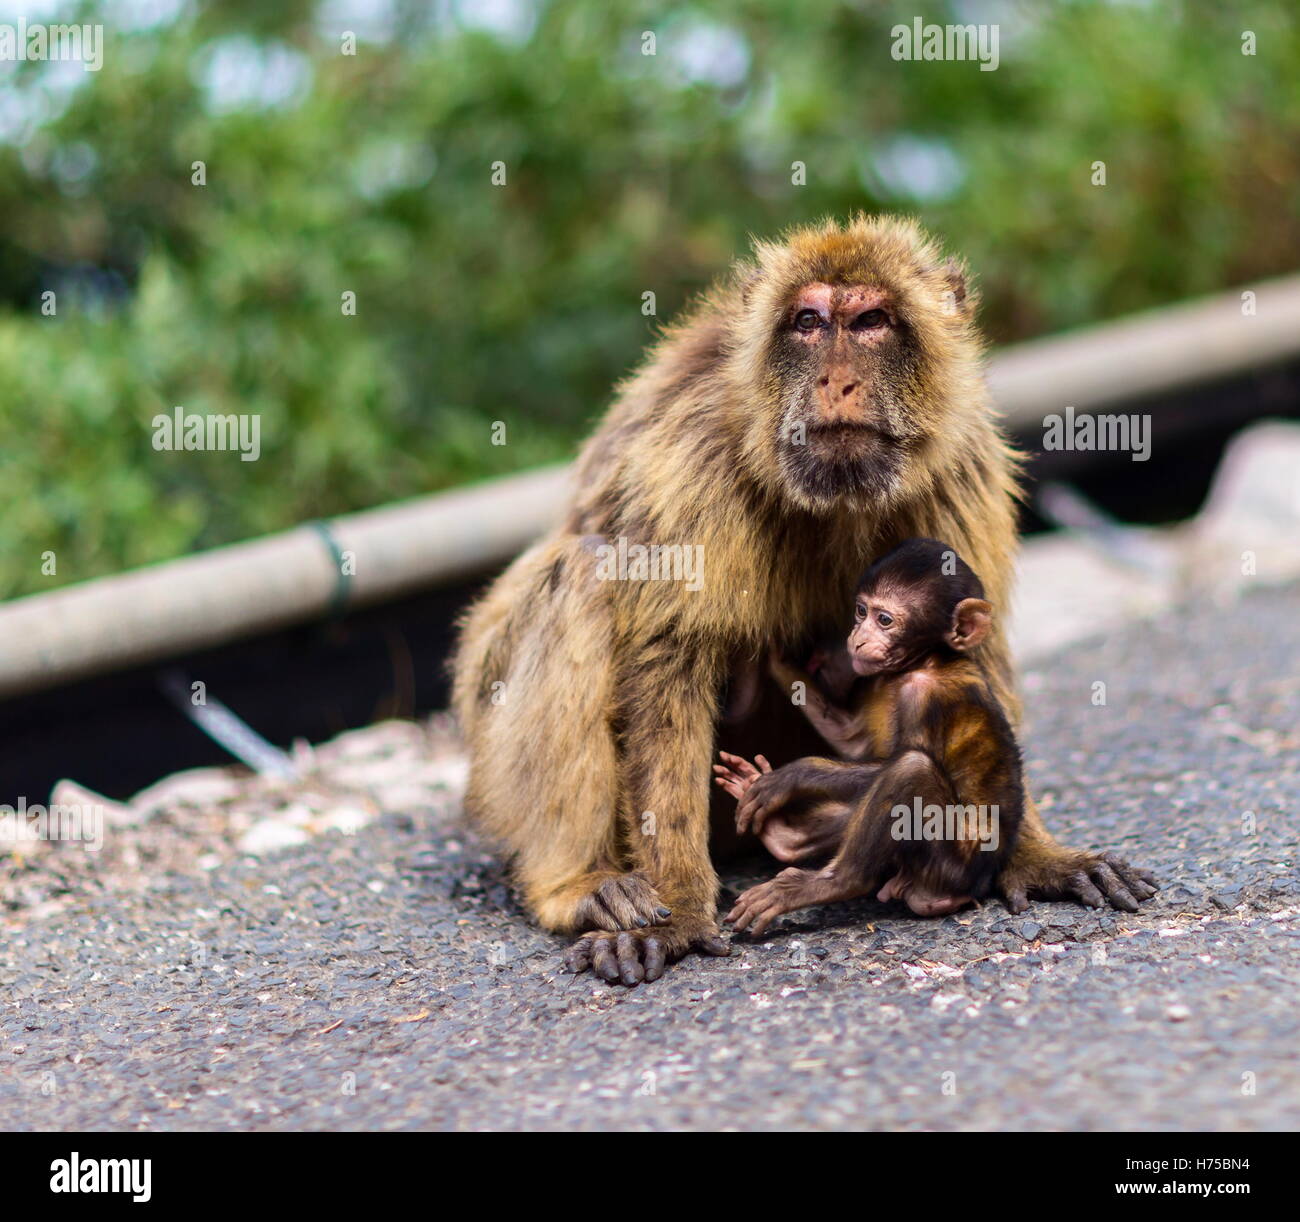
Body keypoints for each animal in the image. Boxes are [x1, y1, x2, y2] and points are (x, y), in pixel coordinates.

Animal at [717, 538, 1049, 934]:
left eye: (885, 620)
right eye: (861, 611)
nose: (858, 638)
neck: (924, 661)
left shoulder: (926, 696)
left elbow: (893, 760)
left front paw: (791, 776)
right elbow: (852, 740)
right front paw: (771, 654)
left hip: (952, 865)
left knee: (910, 769)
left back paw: (829, 883)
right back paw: (785, 838)